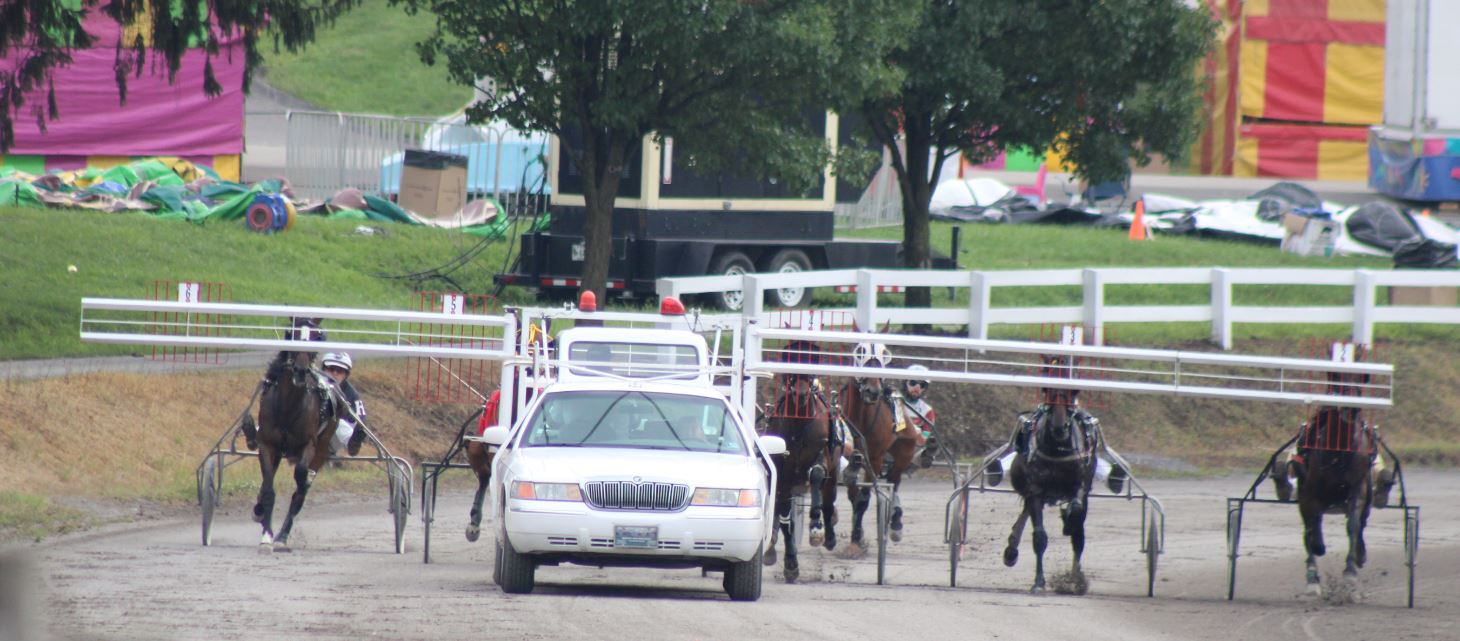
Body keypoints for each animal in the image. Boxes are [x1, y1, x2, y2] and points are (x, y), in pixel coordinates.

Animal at [253, 349, 339, 551]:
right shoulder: (267, 446)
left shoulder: (309, 445)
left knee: (301, 489)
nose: (301, 370)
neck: (287, 407)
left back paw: (283, 535)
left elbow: (300, 477)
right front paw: (266, 535)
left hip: (323, 445)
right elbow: (267, 489)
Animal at [761, 374, 839, 583]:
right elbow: (785, 517)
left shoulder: (821, 453)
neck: (799, 422)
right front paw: (789, 562)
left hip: (833, 473)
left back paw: (829, 535)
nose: (801, 393)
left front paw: (816, 525)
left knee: (828, 499)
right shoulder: (782, 474)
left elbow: (817, 475)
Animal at [1002, 356, 1100, 592]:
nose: (1058, 427)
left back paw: (1075, 577)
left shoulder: (1079, 486)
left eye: (1073, 390)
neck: (1057, 447)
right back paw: (1012, 549)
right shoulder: (1035, 490)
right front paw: (1039, 581)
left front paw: (1069, 523)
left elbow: (1076, 517)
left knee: (1078, 535)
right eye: (1046, 387)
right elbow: (1039, 537)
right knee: (1026, 513)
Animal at [1269, 366, 1393, 595]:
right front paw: (1313, 574)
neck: (1339, 451)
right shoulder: (1308, 490)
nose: (1349, 408)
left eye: (1360, 381)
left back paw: (1360, 553)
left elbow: (1353, 526)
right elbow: (1311, 530)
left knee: (1361, 524)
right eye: (1337, 379)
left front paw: (1350, 572)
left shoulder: (1357, 488)